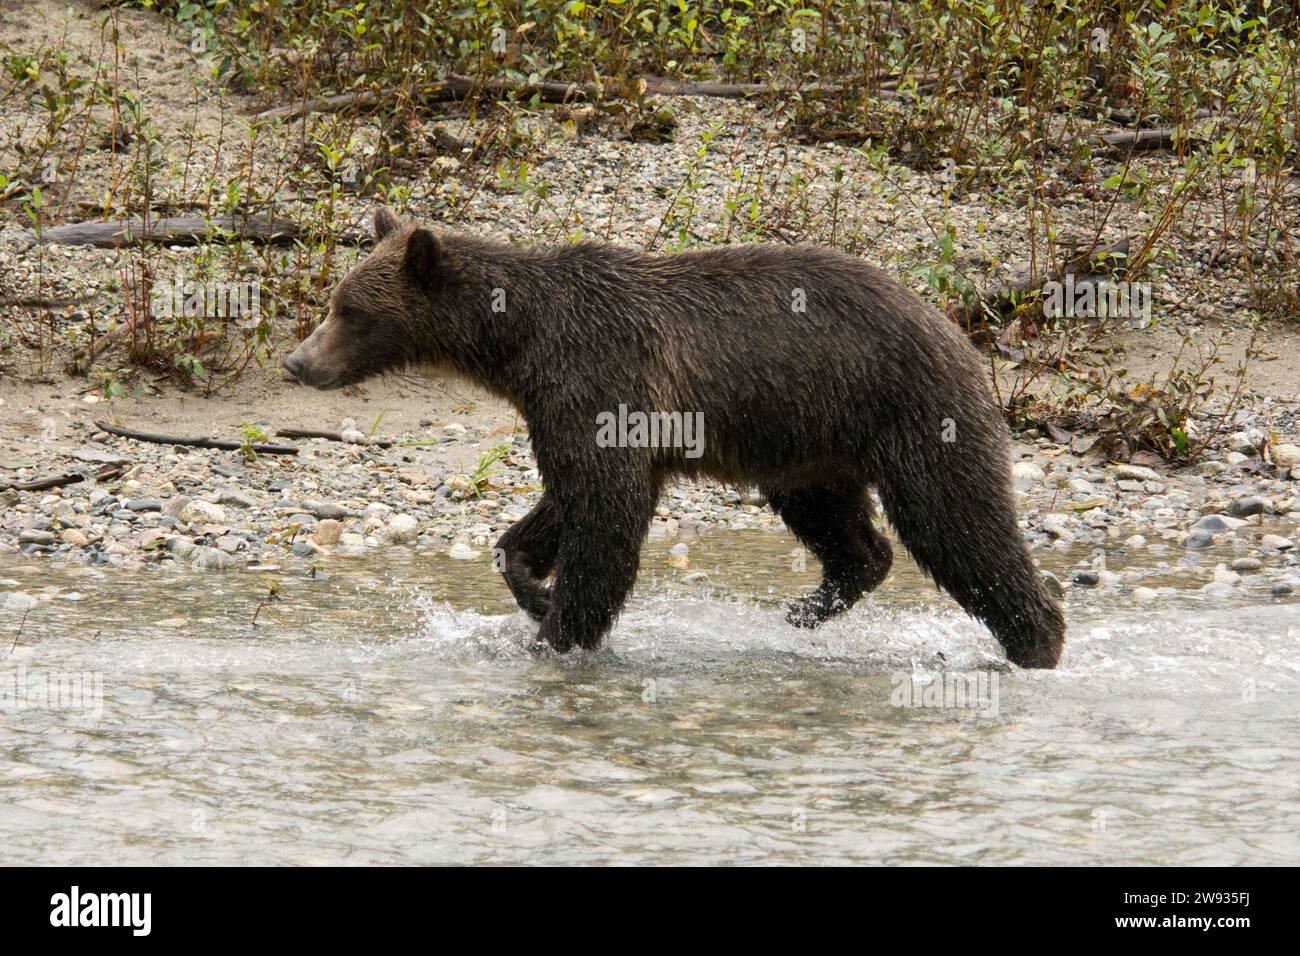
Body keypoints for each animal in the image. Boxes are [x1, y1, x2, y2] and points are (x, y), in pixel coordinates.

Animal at [283, 208, 1065, 668]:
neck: (520, 344)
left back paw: (1035, 641)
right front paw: (531, 584)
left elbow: (605, 516)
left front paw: (560, 633)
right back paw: (805, 609)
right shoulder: (569, 410)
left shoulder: (601, 382)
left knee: (957, 521)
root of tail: (959, 330)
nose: (296, 361)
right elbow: (559, 505)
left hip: (910, 412)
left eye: (348, 310)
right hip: (808, 444)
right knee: (845, 530)